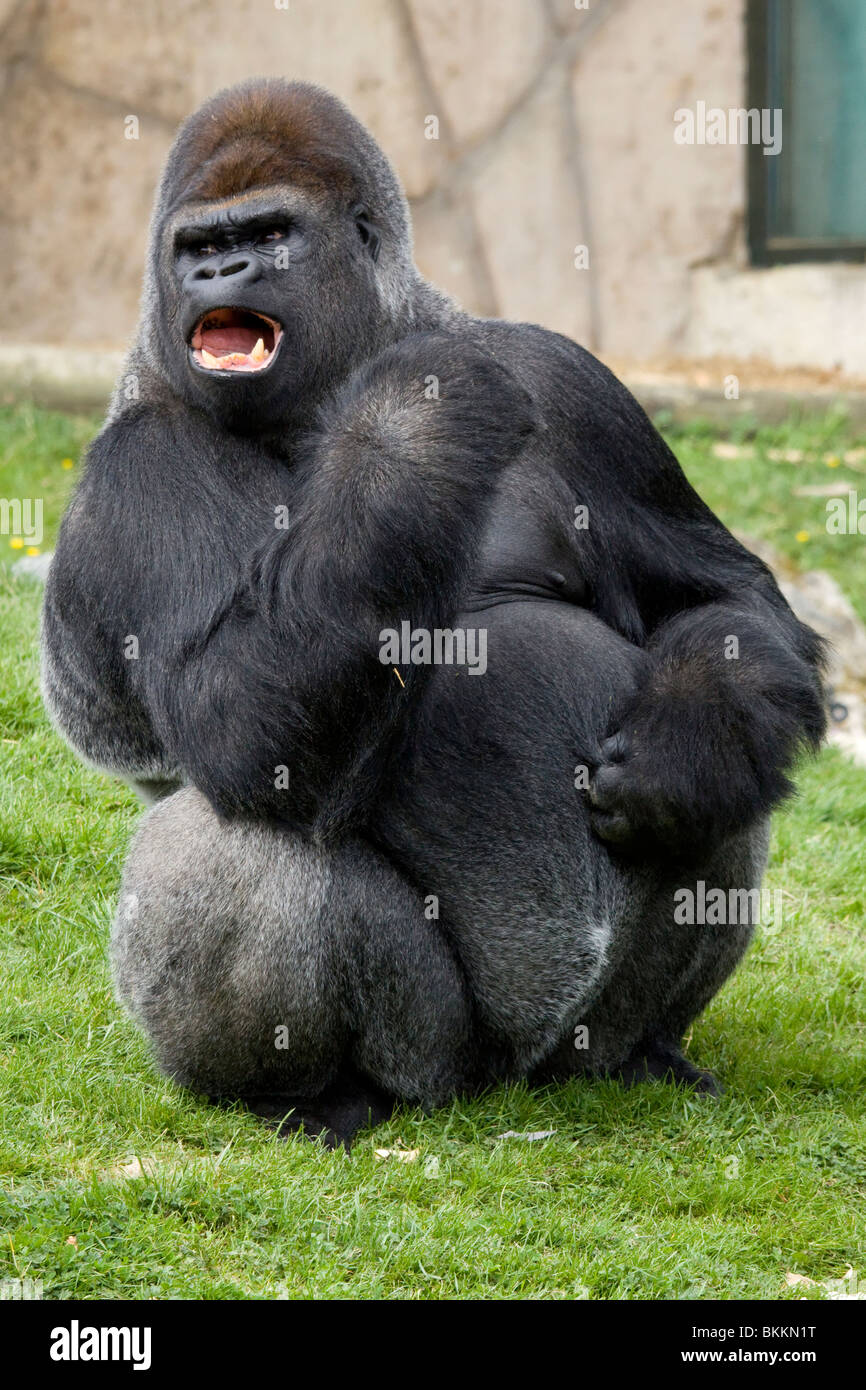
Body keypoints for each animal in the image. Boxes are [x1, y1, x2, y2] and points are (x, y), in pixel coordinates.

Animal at [41, 79, 825, 1145]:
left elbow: (721, 598)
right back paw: (313, 1092)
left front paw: (688, 740)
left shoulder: (567, 377)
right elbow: (232, 720)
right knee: (213, 846)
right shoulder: (136, 473)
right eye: (196, 245)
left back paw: (645, 1043)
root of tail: (515, 1080)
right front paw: (412, 420)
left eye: (267, 232)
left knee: (735, 765)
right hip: (438, 1053)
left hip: (570, 1046)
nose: (218, 271)